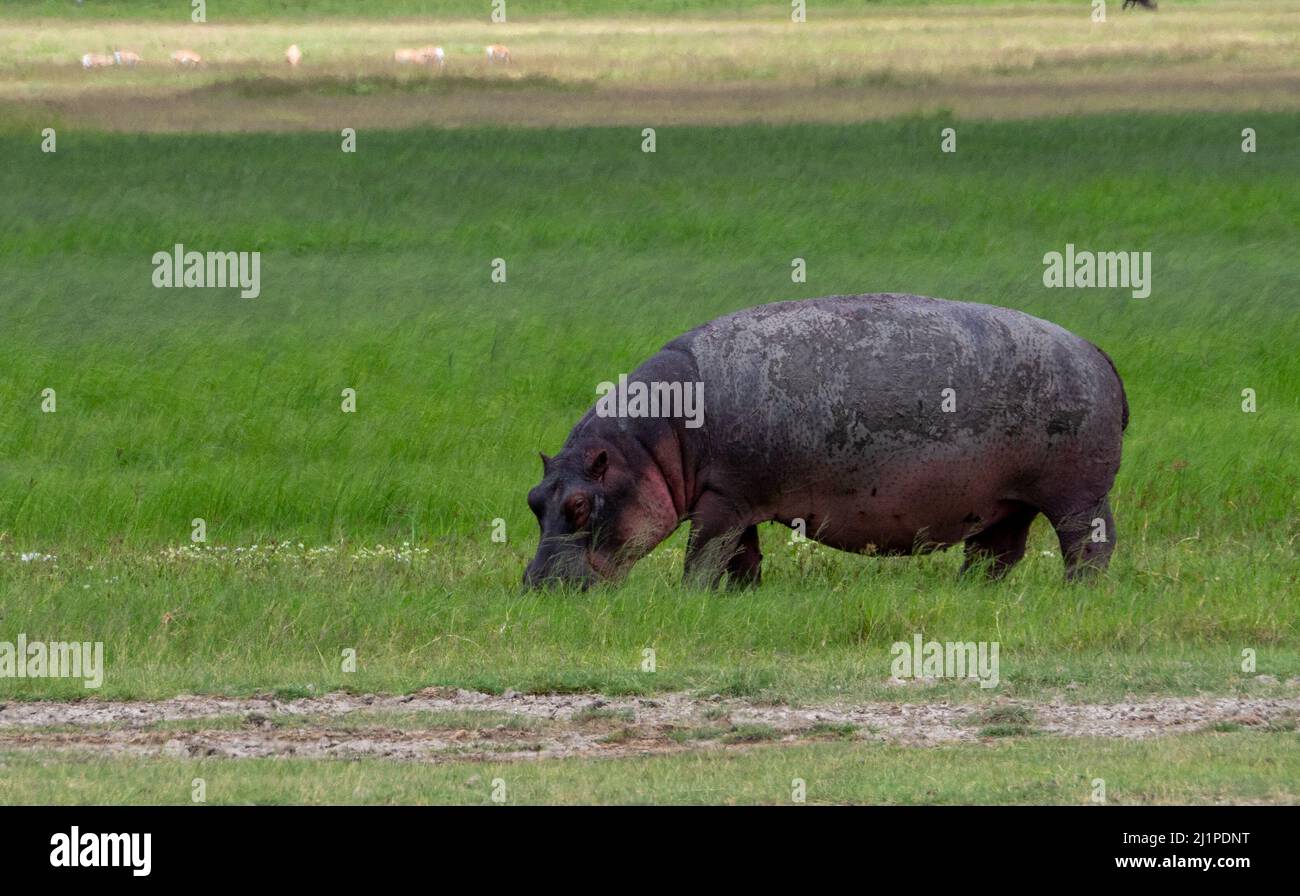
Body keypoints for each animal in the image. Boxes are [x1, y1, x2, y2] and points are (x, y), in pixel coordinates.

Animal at [525, 293, 1128, 589]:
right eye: (534, 500)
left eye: (579, 505)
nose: (536, 584)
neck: (648, 446)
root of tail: (1096, 349)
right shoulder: (737, 500)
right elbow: (741, 558)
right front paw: (740, 599)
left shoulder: (722, 501)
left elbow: (703, 556)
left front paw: (690, 596)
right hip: (1006, 501)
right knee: (996, 554)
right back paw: (971, 594)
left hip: (1077, 497)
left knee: (1088, 547)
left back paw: (1079, 594)